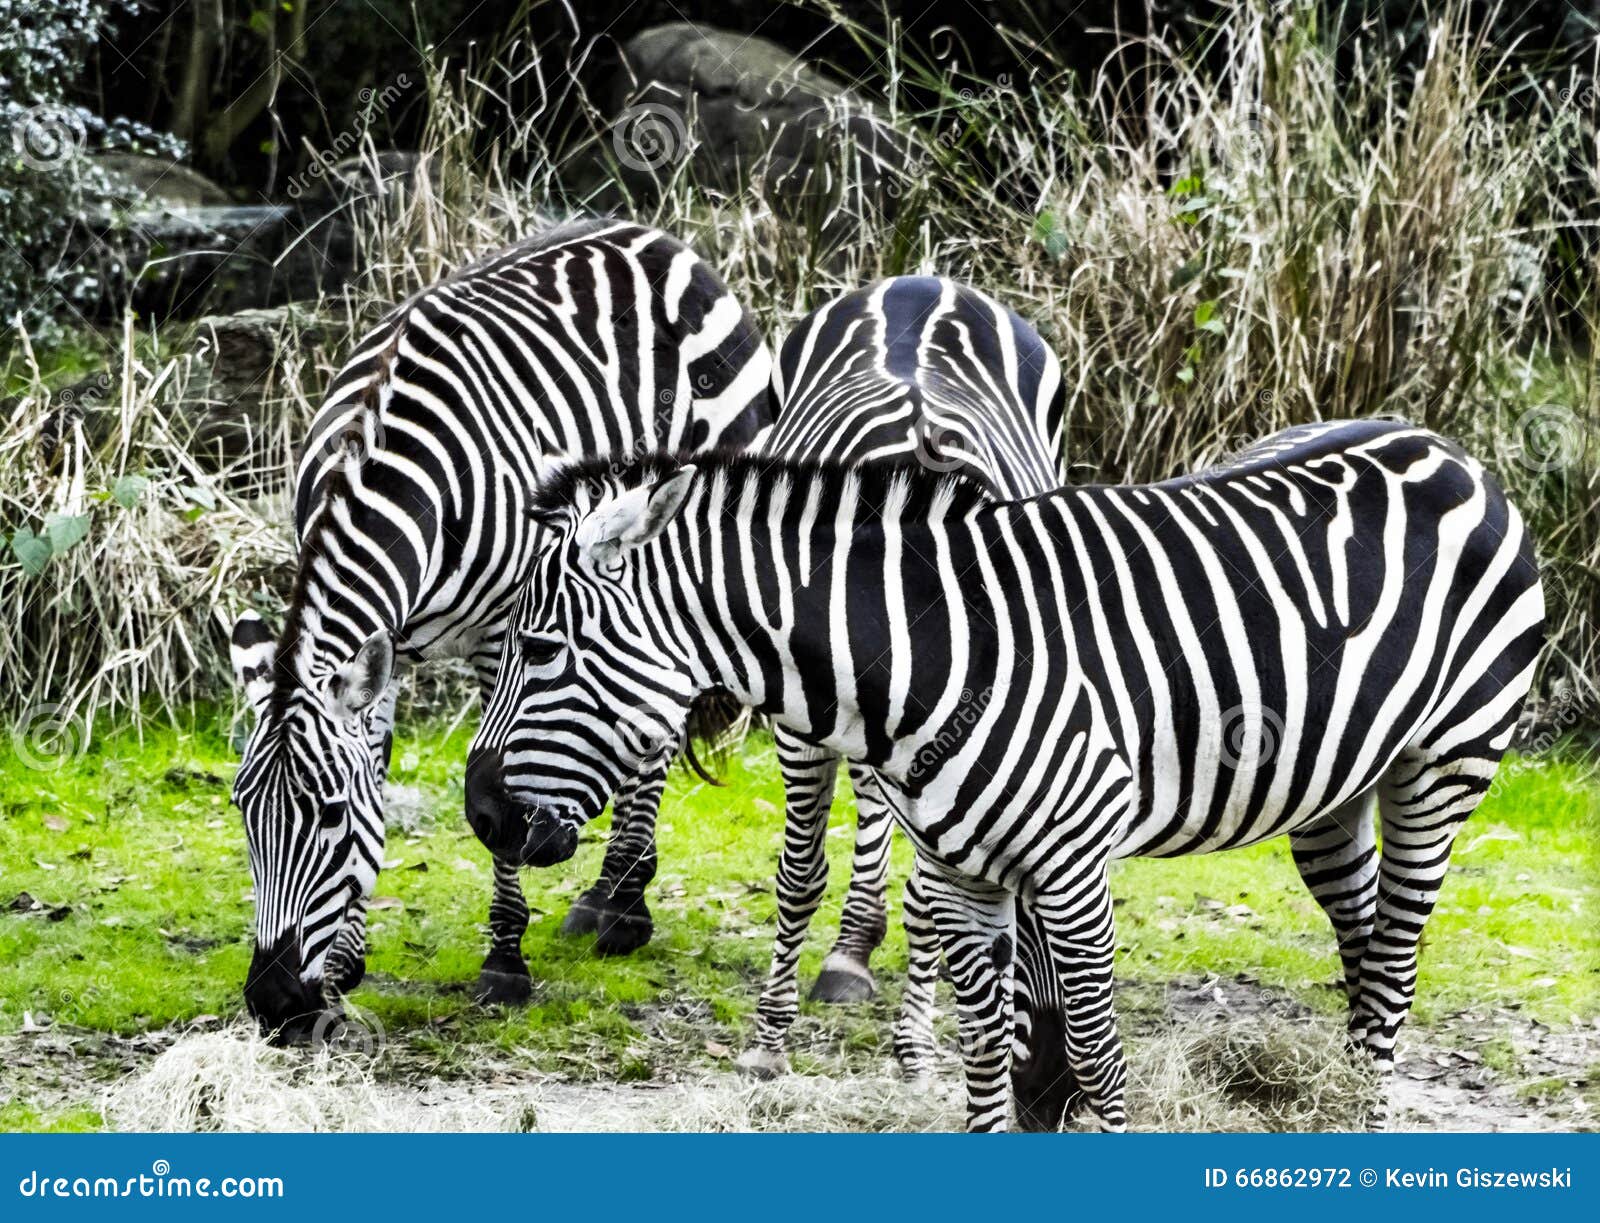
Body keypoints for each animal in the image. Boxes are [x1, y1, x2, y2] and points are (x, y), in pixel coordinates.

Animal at [227, 219, 772, 1038]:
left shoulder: (504, 633)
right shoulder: (388, 647)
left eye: (326, 815)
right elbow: (379, 777)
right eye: (243, 813)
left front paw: (504, 960)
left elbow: (495, 801)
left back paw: (624, 904)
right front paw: (346, 964)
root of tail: (646, 232)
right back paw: (607, 893)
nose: (273, 1001)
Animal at [464, 419, 1542, 1130]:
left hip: (1443, 765)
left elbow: (1099, 1059)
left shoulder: (1070, 866)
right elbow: (985, 1052)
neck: (937, 650)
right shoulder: (959, 870)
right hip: (1330, 788)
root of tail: (1442, 447)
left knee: (1395, 956)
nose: (480, 813)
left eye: (541, 646)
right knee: (1363, 945)